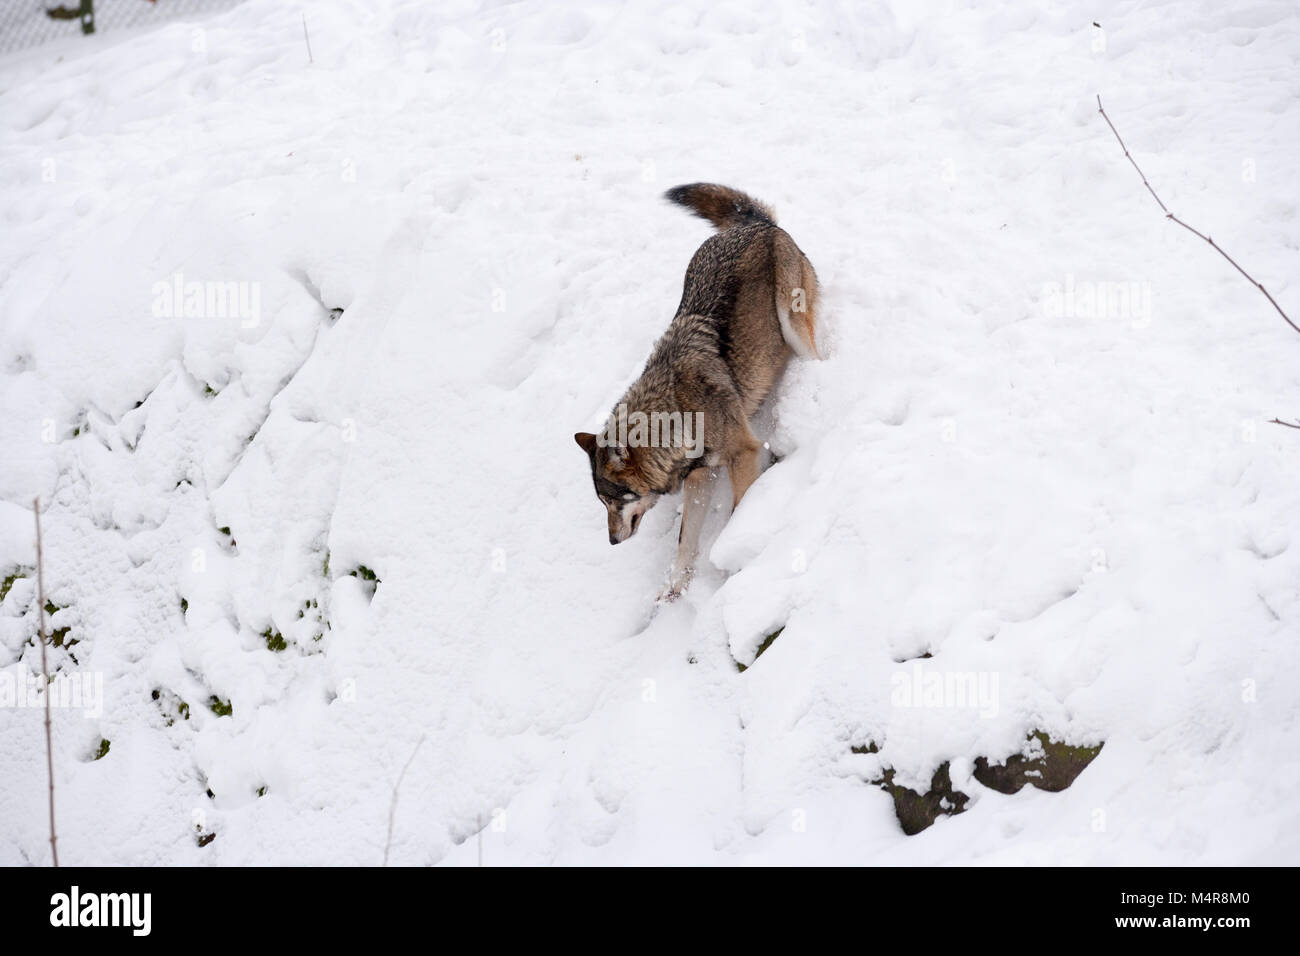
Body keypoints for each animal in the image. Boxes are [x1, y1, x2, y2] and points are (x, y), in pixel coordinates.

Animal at [574, 183, 821, 601]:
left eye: (613, 499)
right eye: (601, 502)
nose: (612, 542)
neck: (680, 413)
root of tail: (754, 225)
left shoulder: (743, 454)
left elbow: (738, 511)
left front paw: (733, 557)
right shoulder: (700, 476)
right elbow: (685, 540)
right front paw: (674, 587)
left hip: (792, 321)